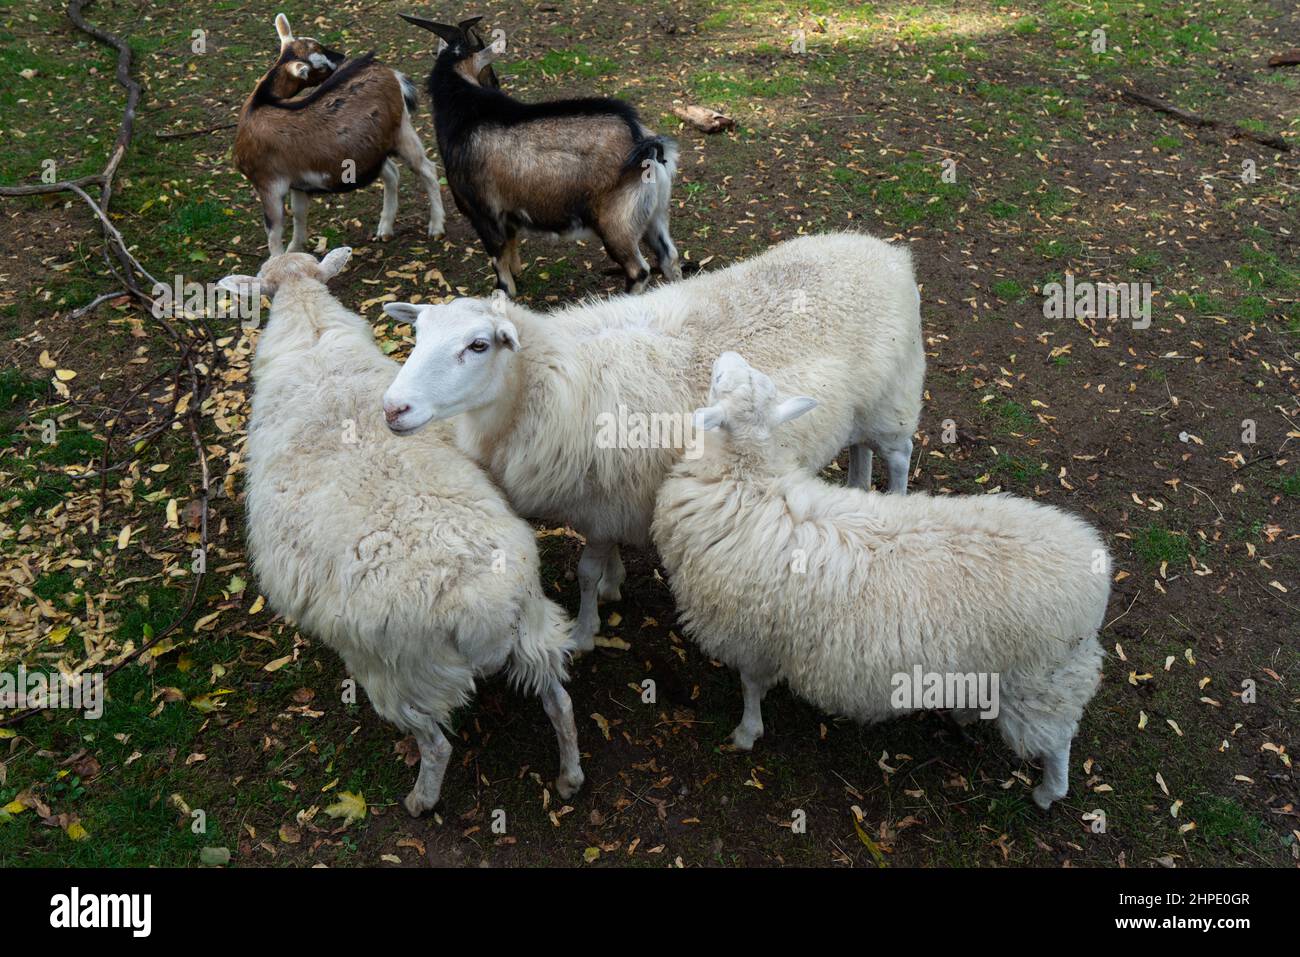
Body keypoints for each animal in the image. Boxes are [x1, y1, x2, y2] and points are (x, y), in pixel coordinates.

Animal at [219, 247, 584, 816]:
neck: (312, 337)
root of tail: (482, 607)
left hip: (401, 675)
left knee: (436, 745)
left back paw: (420, 800)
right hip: (535, 628)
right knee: (560, 703)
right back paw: (570, 777)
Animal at [233, 13, 446, 256]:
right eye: (320, 62)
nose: (343, 57)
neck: (259, 104)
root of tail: (392, 74)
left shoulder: (268, 183)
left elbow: (274, 235)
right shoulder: (297, 180)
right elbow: (299, 215)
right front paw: (296, 251)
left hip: (402, 131)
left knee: (427, 169)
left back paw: (436, 227)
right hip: (375, 145)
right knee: (393, 172)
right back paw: (385, 228)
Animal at [379, 231, 925, 651]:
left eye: (478, 345)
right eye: (417, 335)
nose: (393, 408)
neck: (548, 381)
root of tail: (883, 250)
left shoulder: (600, 502)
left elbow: (585, 572)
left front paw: (585, 630)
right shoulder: (605, 499)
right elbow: (604, 563)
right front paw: (615, 585)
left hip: (894, 402)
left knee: (898, 457)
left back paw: (896, 498)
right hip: (859, 410)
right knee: (858, 448)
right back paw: (857, 487)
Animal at [400, 14, 681, 295]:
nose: (496, 85)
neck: (466, 113)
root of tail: (644, 141)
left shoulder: (483, 214)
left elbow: (498, 262)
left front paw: (505, 292)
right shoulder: (508, 216)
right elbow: (511, 251)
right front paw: (517, 275)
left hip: (618, 221)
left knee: (638, 270)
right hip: (654, 214)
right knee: (670, 257)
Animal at [651, 352, 1109, 810]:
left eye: (718, 381)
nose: (724, 356)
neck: (747, 477)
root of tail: (1096, 566)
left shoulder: (750, 634)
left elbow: (749, 687)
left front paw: (746, 733)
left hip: (1042, 681)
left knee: (1057, 742)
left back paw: (1048, 792)